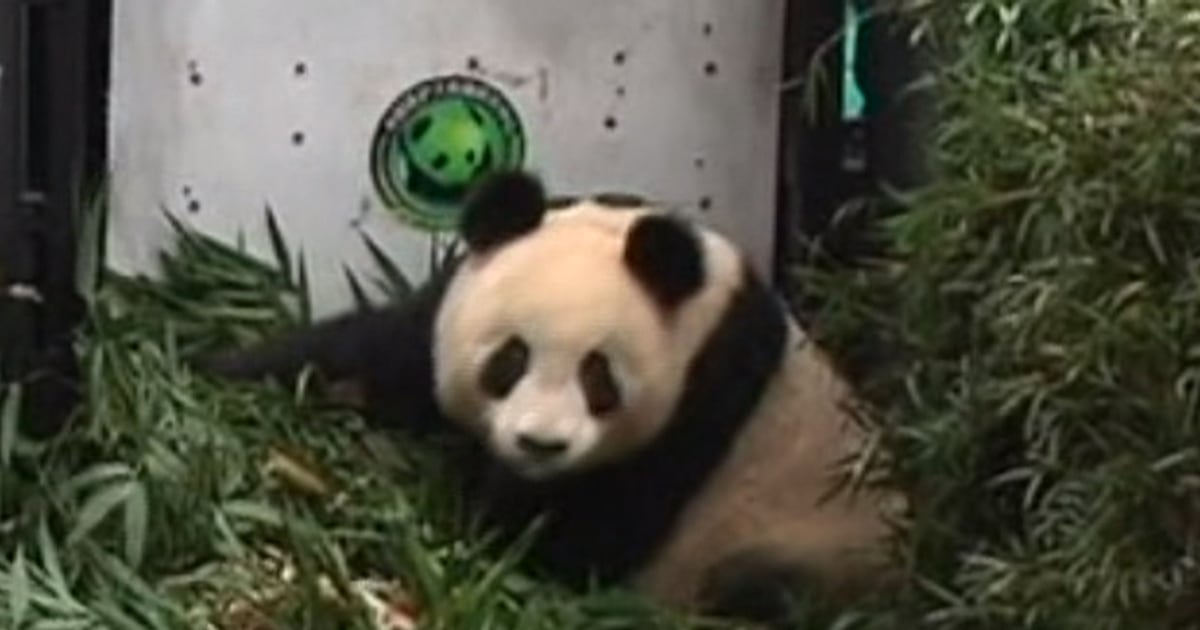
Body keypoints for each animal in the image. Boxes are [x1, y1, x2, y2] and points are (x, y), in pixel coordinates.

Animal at [195, 170, 906, 627]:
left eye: (600, 377)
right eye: (510, 359)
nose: (540, 443)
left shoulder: (704, 399)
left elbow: (581, 539)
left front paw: (464, 516)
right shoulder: (443, 311)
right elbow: (372, 355)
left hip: (812, 539)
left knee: (764, 589)